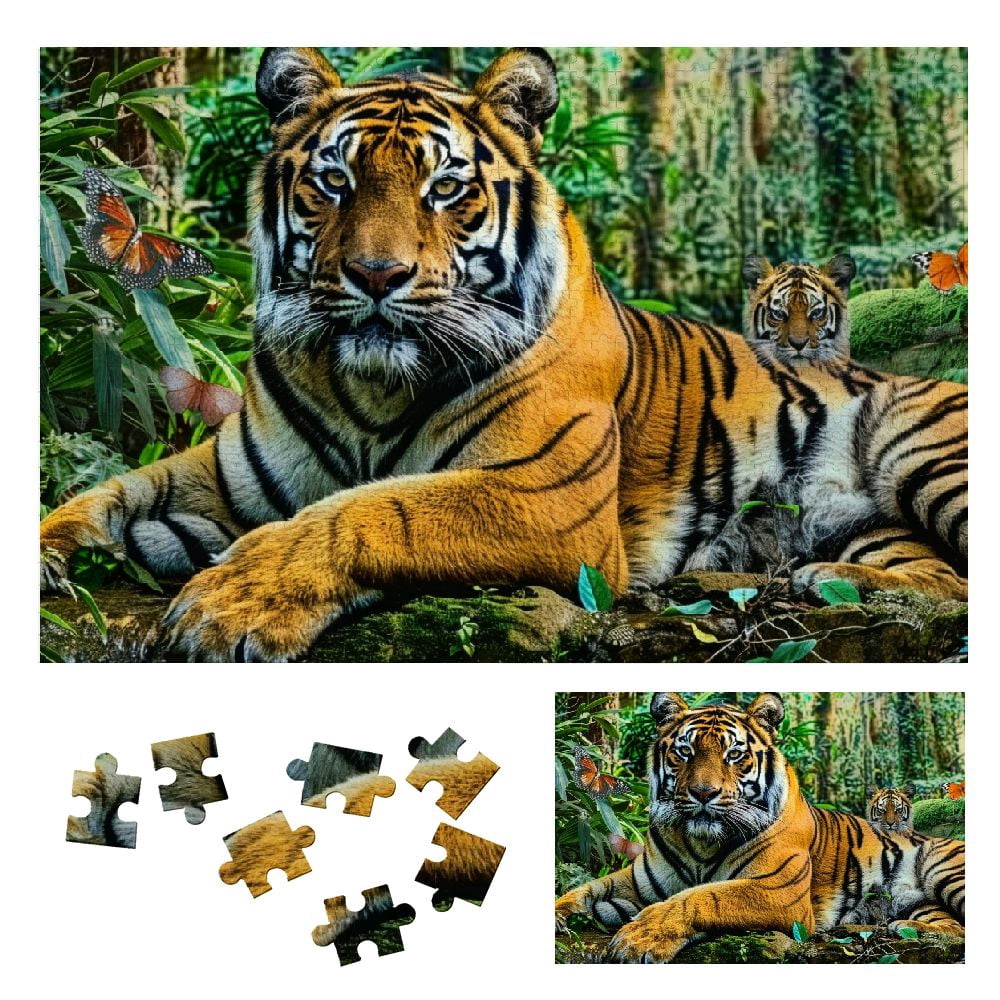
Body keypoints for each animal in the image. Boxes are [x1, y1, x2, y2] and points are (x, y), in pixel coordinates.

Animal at [39, 47, 968, 662]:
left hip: (922, 447)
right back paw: (810, 580)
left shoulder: (546, 495)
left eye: (444, 188)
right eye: (335, 182)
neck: (365, 389)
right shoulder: (225, 475)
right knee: (944, 580)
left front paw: (234, 603)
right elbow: (106, 495)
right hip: (871, 533)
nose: (377, 274)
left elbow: (374, 509)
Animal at [555, 693, 965, 963]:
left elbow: (702, 897)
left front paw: (639, 938)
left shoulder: (778, 890)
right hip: (922, 906)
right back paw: (896, 928)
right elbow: (582, 891)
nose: (703, 792)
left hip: (943, 868)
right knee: (956, 929)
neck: (699, 844)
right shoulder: (636, 882)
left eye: (733, 754)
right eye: (685, 751)